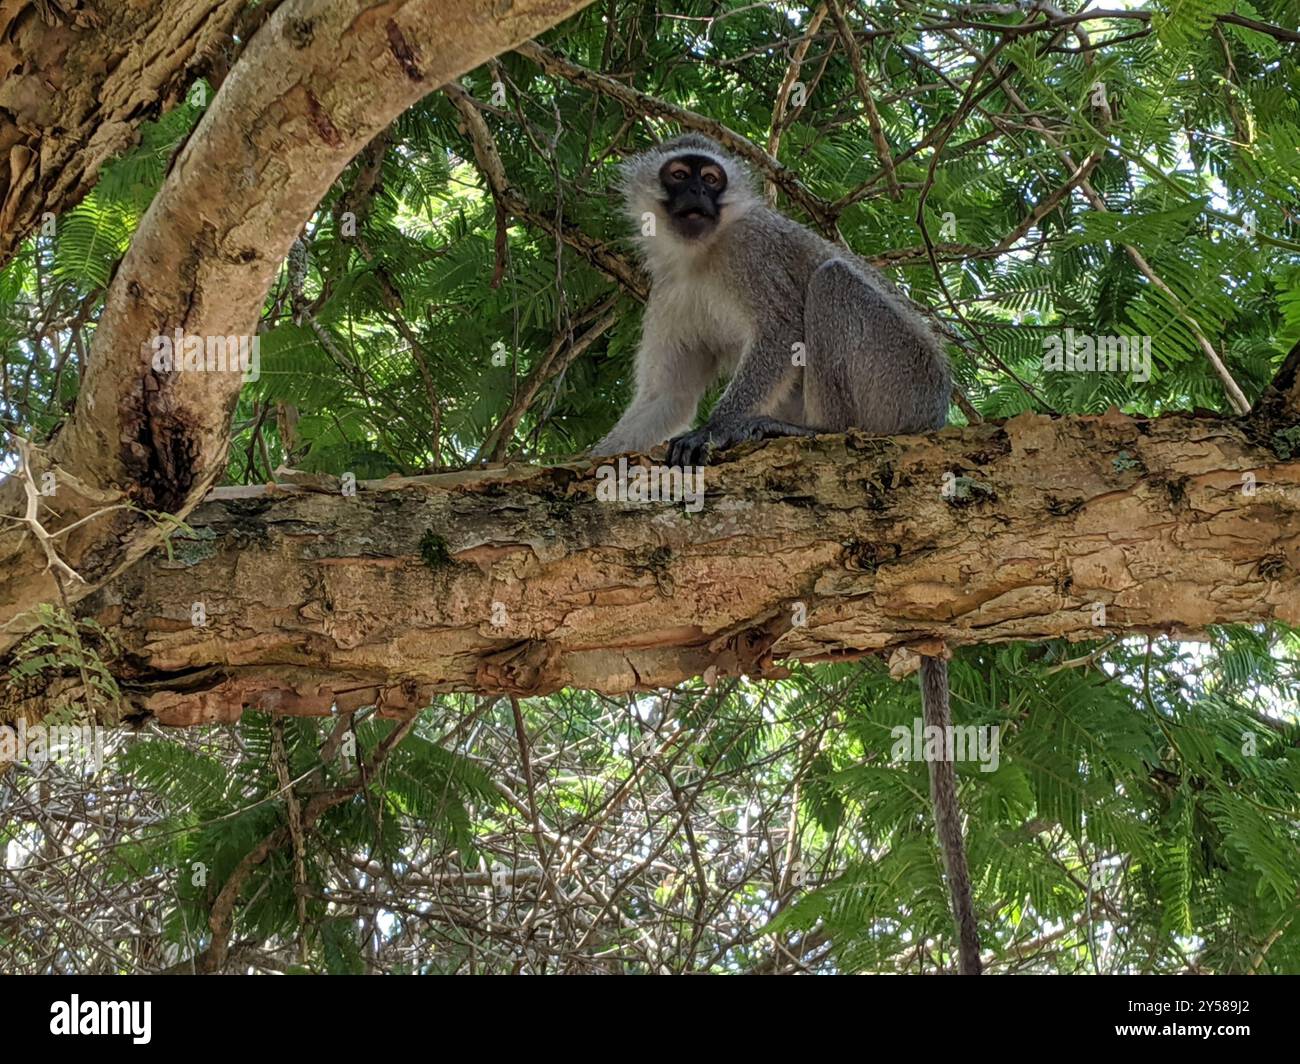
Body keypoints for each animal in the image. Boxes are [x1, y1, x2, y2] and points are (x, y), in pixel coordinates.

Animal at [592, 134, 980, 975]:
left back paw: (806, 432)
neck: (702, 254)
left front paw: (716, 432)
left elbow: (776, 336)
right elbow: (663, 398)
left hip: (897, 378)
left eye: (711, 178)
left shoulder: (757, 256)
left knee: (829, 289)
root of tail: (934, 417)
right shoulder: (670, 295)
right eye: (679, 177)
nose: (697, 200)